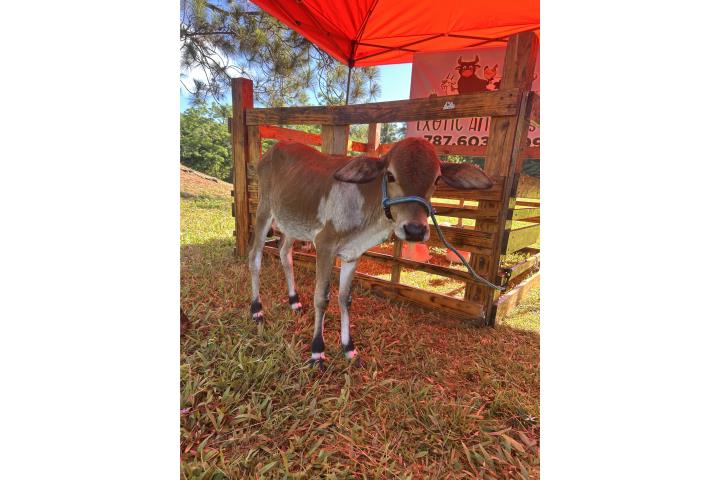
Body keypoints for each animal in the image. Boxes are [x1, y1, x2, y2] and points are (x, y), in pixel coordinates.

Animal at [248, 137, 493, 367]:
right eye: (390, 175)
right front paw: (317, 351)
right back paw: (257, 309)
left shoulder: (353, 254)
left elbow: (345, 298)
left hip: (292, 223)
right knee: (255, 257)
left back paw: (294, 301)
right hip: (264, 211)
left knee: (284, 253)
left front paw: (349, 348)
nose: (414, 230)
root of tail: (273, 149)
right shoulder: (325, 245)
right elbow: (321, 297)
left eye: (437, 179)